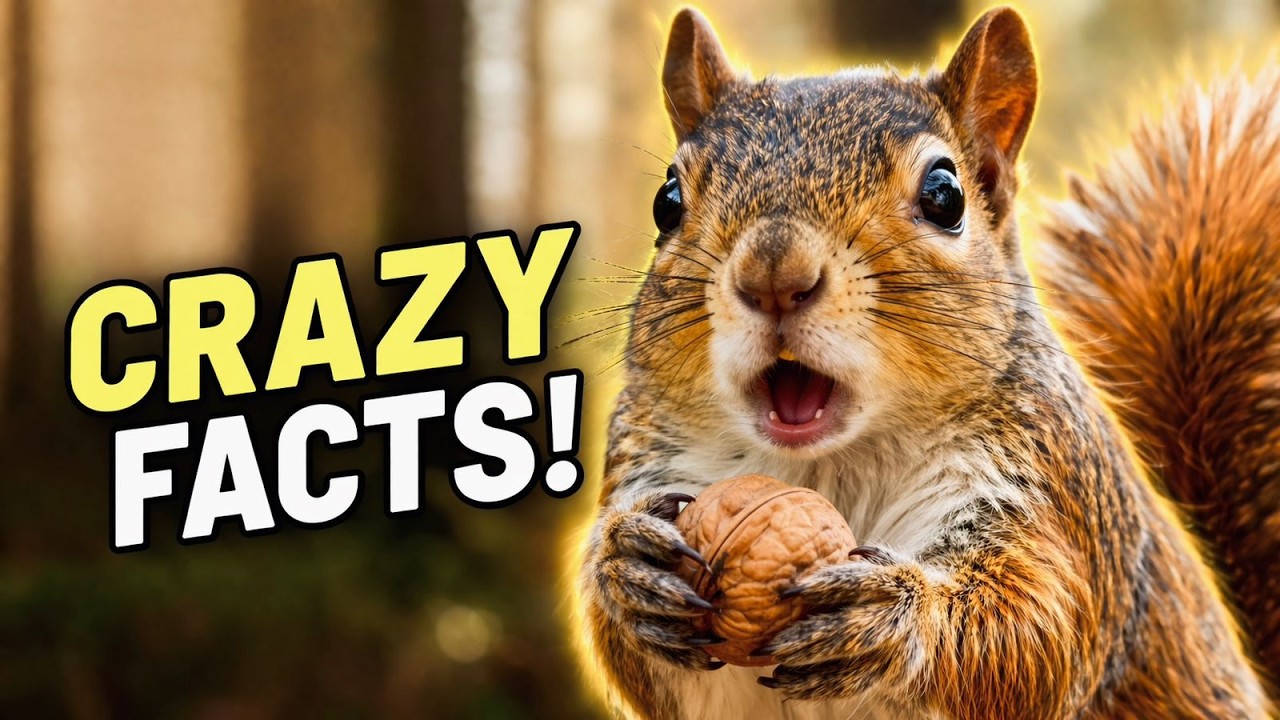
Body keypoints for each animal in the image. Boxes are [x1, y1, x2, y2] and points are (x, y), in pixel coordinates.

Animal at [574, 6, 1280, 719]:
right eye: (667, 202)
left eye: (946, 196)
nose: (774, 274)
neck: (831, 468)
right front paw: (628, 572)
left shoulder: (1054, 494)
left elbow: (1034, 629)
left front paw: (895, 615)